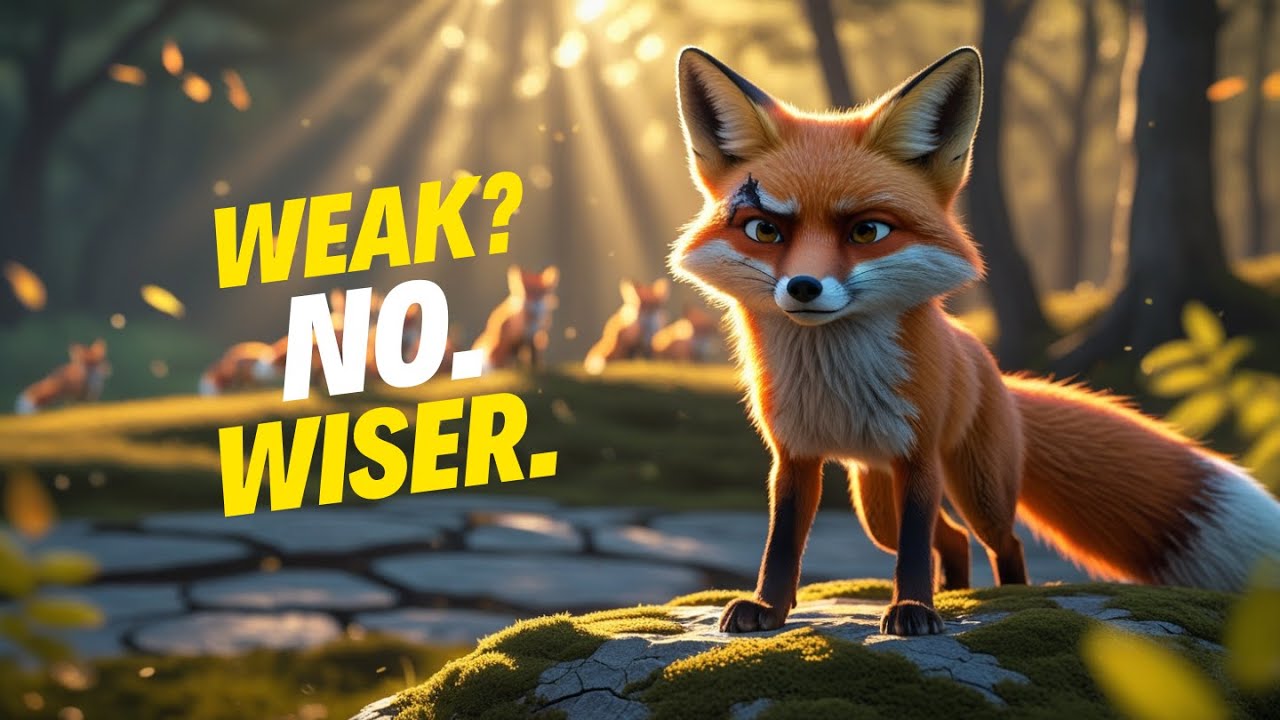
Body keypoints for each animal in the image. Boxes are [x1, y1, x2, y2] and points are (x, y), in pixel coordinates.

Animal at [670, 46, 1280, 636]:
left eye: (867, 231)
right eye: (763, 229)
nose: (802, 287)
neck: (834, 379)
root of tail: (990, 365)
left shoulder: (918, 458)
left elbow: (915, 548)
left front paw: (913, 610)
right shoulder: (794, 458)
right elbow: (782, 544)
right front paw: (767, 609)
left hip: (976, 488)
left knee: (996, 538)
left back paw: (1004, 597)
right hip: (875, 506)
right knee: (952, 539)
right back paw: (955, 593)